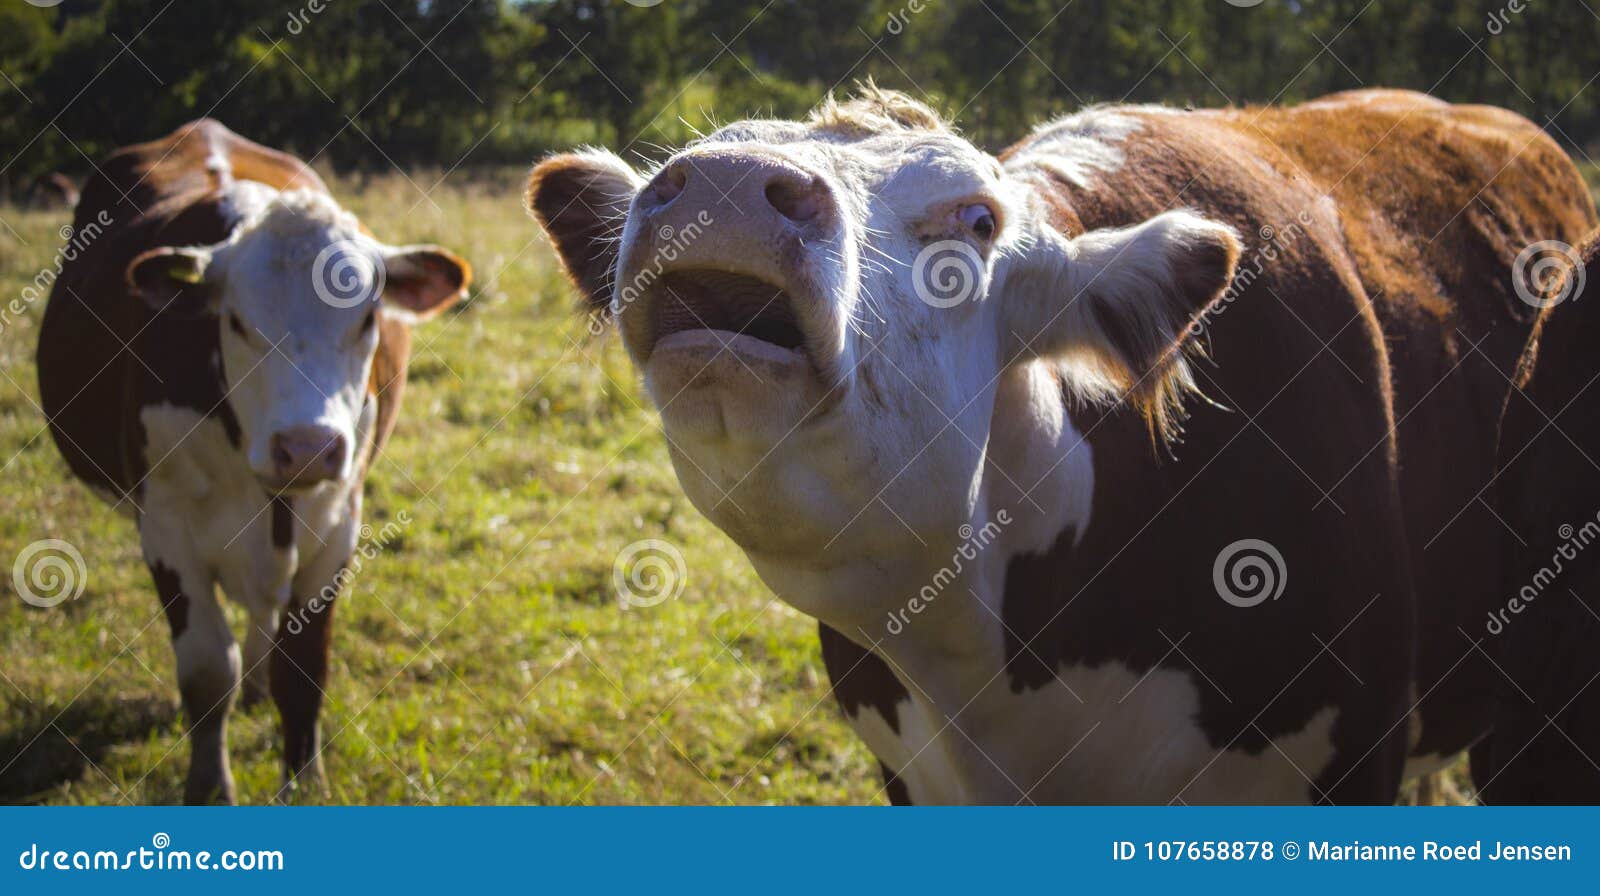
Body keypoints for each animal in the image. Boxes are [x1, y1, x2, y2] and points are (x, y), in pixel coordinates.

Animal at [36, 120, 471, 804]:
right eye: (236, 321)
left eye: (368, 317)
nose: (308, 446)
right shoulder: (167, 529)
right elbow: (208, 672)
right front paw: (211, 784)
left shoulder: (338, 525)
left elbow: (305, 670)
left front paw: (306, 778)